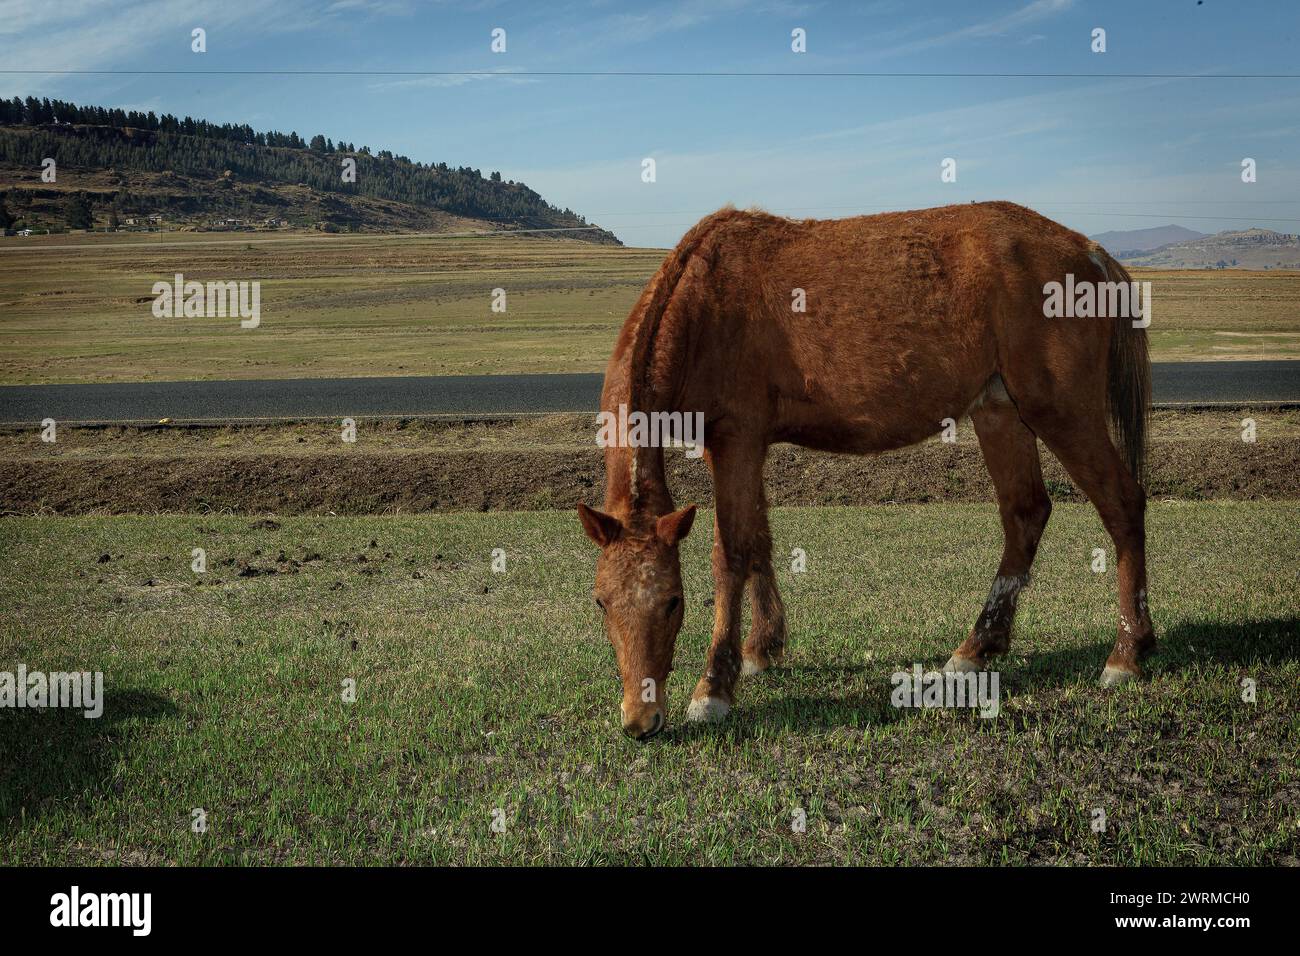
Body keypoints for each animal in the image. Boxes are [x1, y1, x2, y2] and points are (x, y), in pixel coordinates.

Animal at [578, 201, 1153, 740]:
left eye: (673, 602)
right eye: (602, 603)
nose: (641, 721)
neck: (705, 297)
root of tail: (1089, 252)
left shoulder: (735, 440)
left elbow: (731, 554)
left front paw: (714, 687)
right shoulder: (749, 447)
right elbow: (759, 540)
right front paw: (762, 649)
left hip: (1062, 412)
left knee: (1122, 504)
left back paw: (1126, 653)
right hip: (1000, 412)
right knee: (1025, 515)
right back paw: (976, 649)